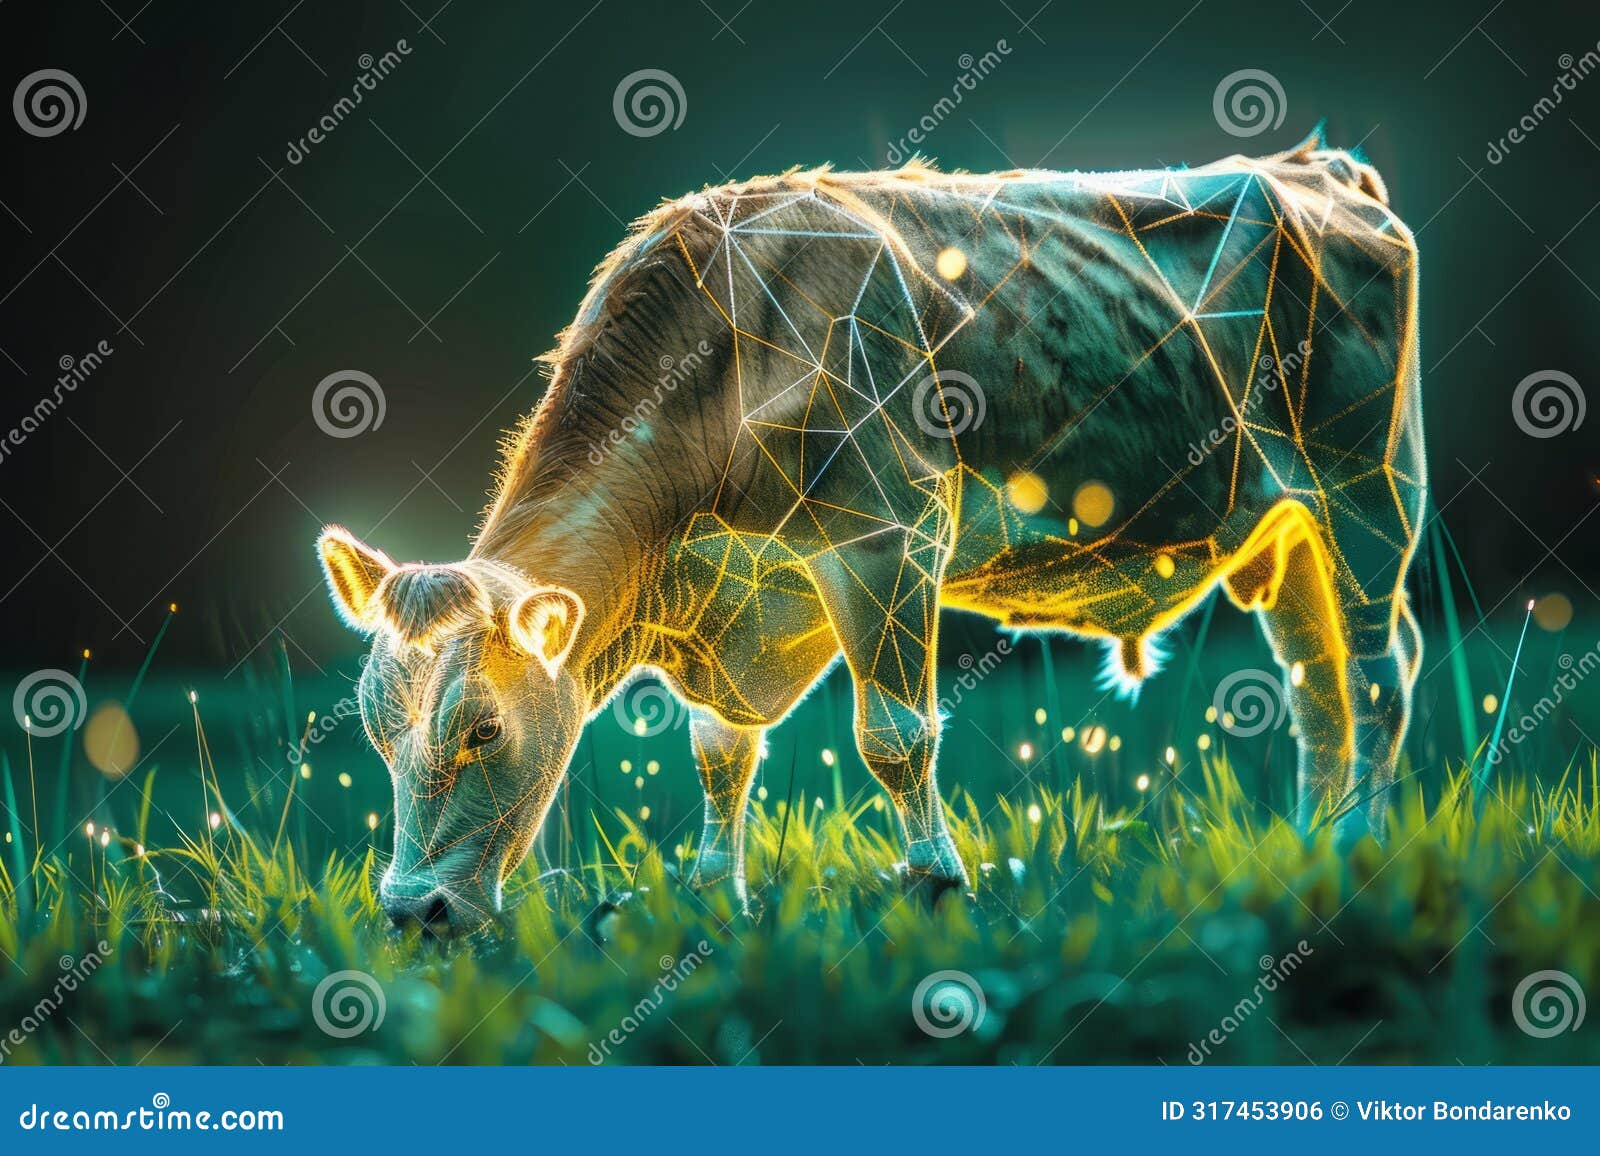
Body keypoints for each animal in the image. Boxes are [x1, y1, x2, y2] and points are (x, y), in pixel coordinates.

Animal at [318, 129, 1425, 933]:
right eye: (374, 730)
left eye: (483, 727)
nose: (410, 912)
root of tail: (1317, 165)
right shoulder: (747, 601)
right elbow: (720, 753)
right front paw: (716, 897)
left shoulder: (885, 541)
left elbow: (895, 736)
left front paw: (935, 883)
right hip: (1281, 529)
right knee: (1313, 681)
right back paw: (1312, 842)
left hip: (1368, 491)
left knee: (1377, 673)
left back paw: (1360, 845)